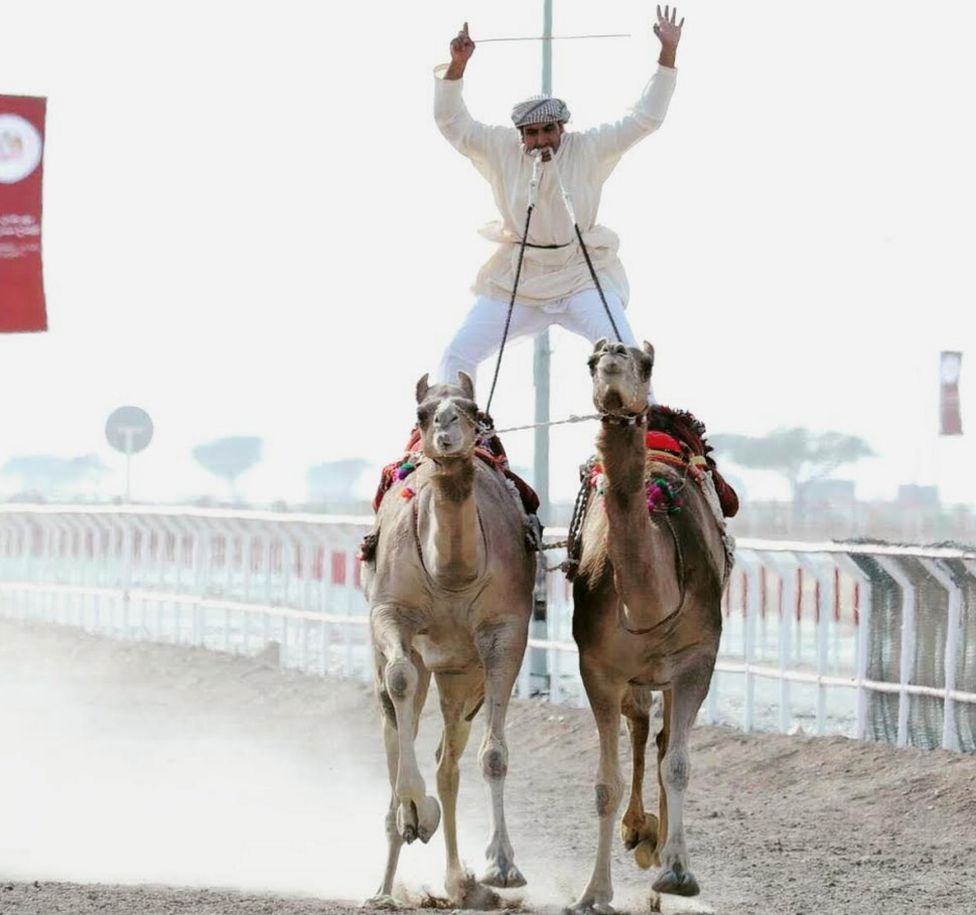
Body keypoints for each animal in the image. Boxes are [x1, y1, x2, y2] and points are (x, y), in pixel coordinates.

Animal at [361, 371, 536, 906]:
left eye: (474, 410)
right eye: (421, 413)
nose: (445, 429)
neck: (452, 575)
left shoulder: (505, 634)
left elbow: (494, 754)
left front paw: (502, 867)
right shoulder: (390, 613)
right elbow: (399, 681)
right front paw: (418, 813)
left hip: (462, 674)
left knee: (448, 762)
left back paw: (459, 882)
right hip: (411, 661)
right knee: (396, 725)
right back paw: (385, 881)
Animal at [568, 339, 730, 912]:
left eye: (646, 362)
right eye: (591, 362)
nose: (613, 353)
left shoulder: (698, 658)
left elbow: (678, 764)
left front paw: (678, 873)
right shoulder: (597, 666)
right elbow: (604, 784)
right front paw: (594, 891)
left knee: (660, 741)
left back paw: (657, 846)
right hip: (634, 673)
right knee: (640, 726)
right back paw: (640, 832)